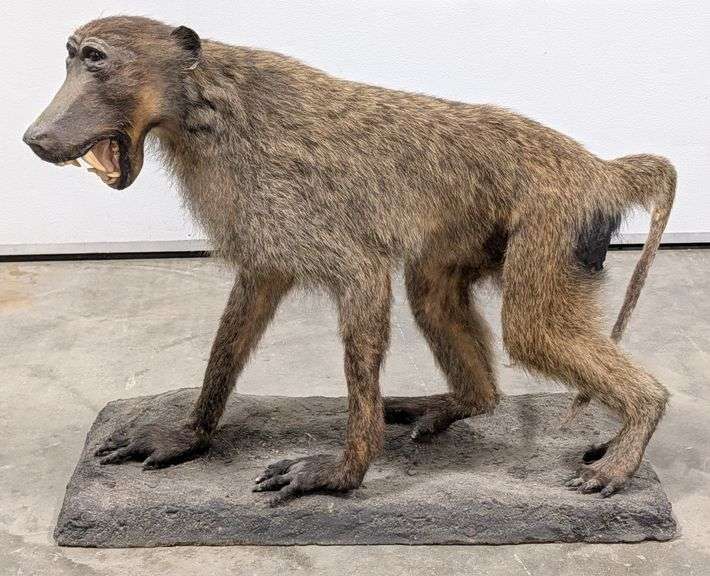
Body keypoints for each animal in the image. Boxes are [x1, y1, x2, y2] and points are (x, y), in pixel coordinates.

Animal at [23, 16, 676, 505]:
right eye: (71, 58)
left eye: (95, 59)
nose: (36, 137)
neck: (205, 108)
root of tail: (598, 169)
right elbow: (253, 296)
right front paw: (189, 434)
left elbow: (363, 278)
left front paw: (341, 473)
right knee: (432, 292)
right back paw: (467, 402)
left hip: (554, 214)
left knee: (531, 331)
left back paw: (632, 434)